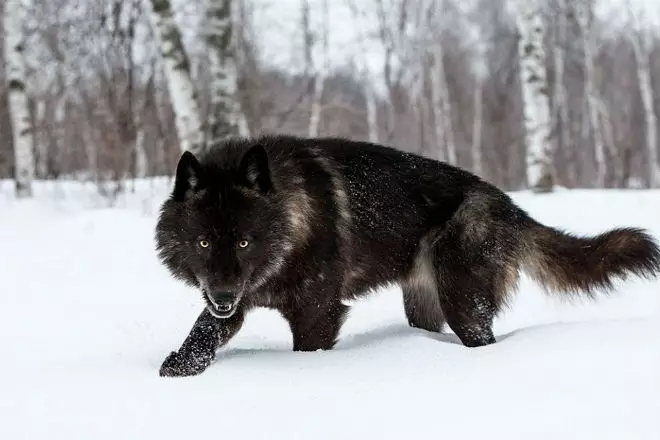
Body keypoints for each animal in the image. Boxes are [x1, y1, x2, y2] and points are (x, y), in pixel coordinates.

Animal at [156, 134, 660, 374]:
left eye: (245, 241)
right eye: (204, 242)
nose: (223, 297)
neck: (292, 218)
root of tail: (509, 205)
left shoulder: (318, 314)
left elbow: (306, 351)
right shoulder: (231, 302)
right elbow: (201, 333)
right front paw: (178, 369)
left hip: (464, 305)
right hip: (422, 305)